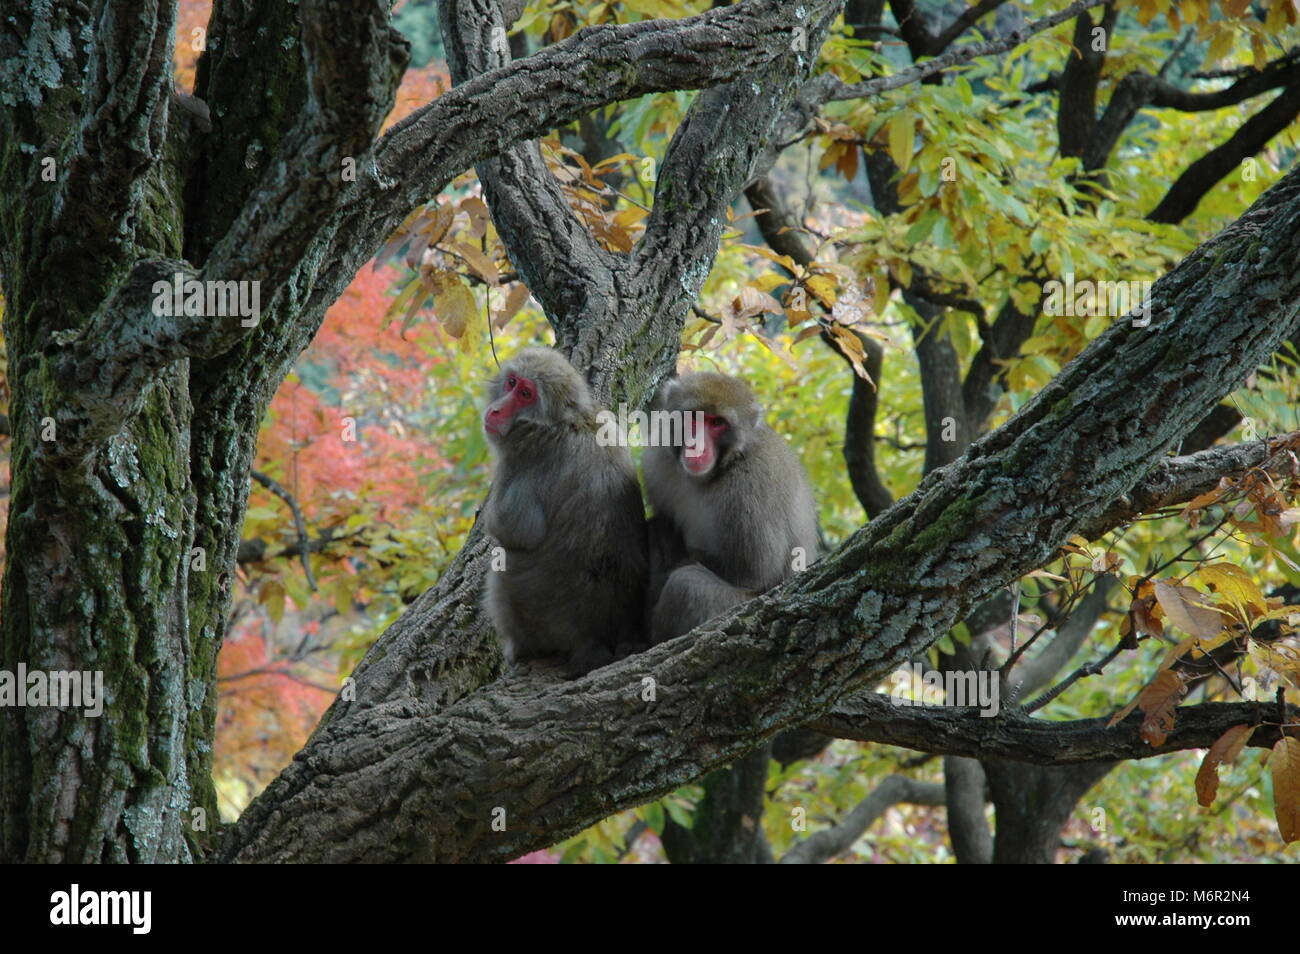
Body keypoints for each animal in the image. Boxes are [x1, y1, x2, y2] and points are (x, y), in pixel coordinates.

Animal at [481, 347, 648, 676]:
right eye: (511, 383)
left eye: (526, 394)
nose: (496, 411)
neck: (569, 420)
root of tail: (593, 640)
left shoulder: (523, 455)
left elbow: (514, 530)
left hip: (536, 617)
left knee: (503, 561)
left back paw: (520, 649)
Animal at [643, 371, 819, 644]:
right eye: (694, 417)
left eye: (717, 423)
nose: (697, 446)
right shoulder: (658, 464)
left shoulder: (750, 488)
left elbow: (754, 570)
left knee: (687, 585)